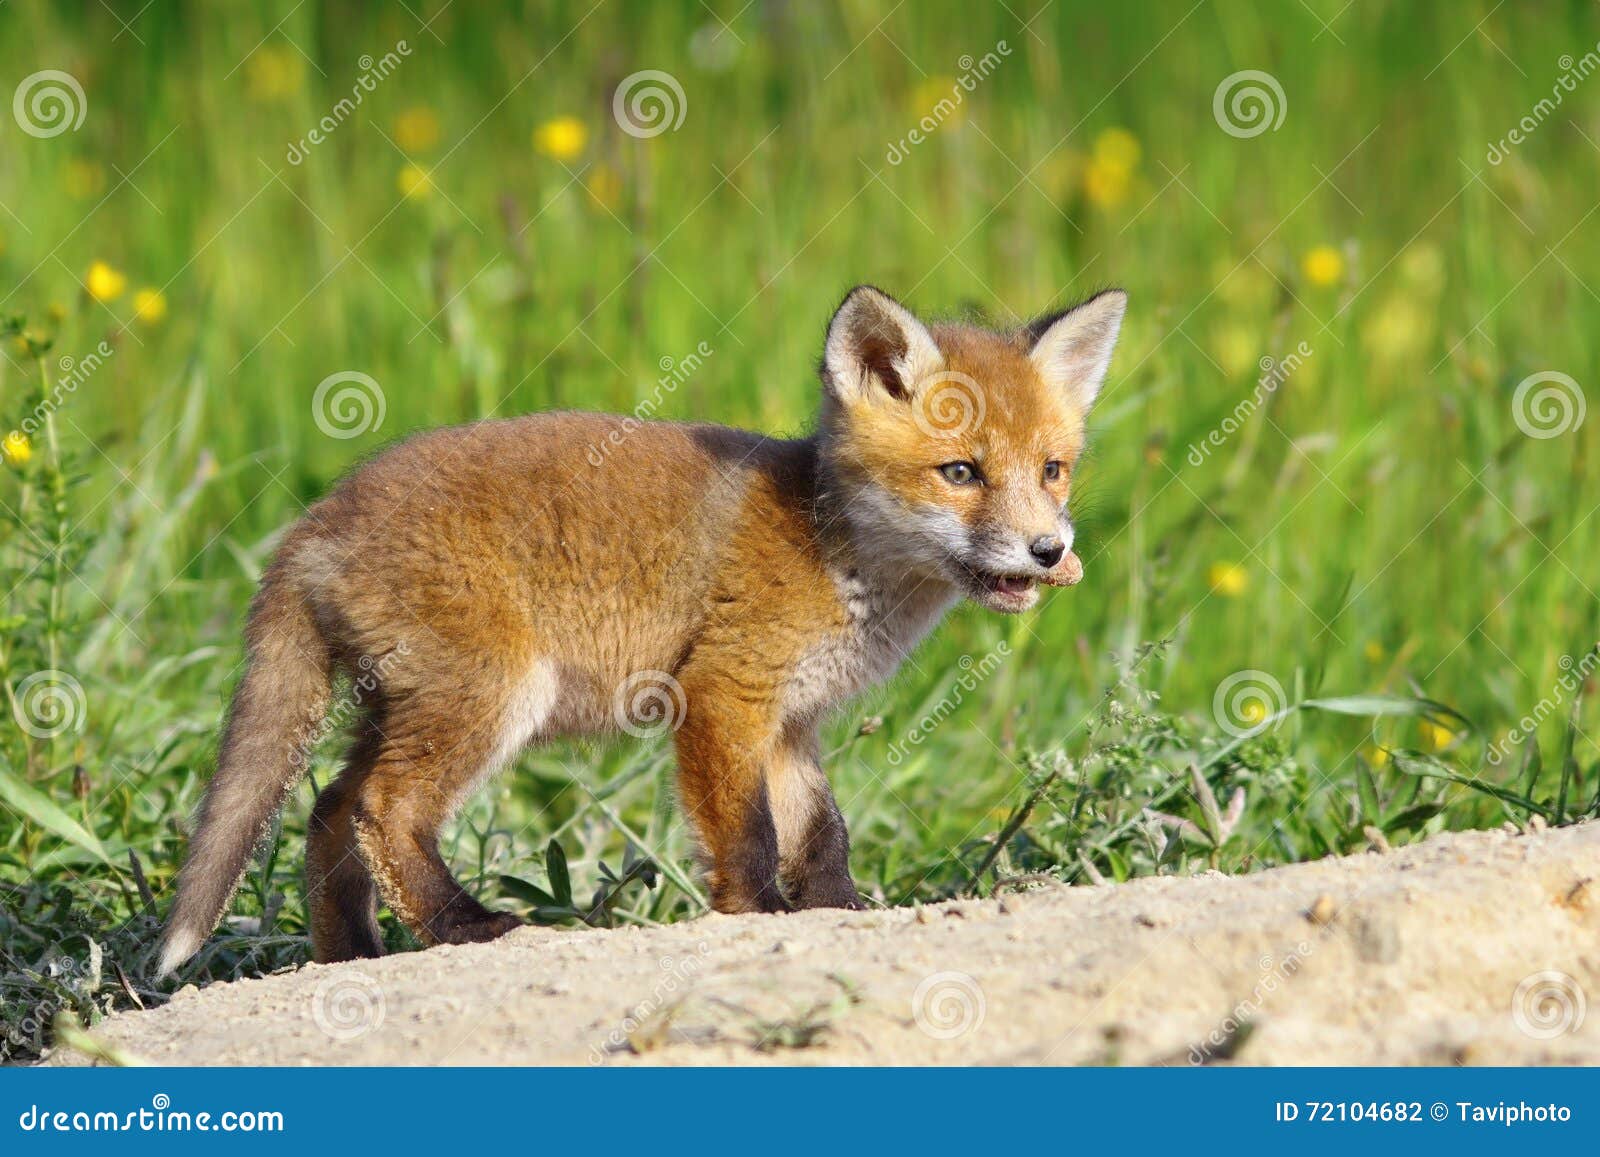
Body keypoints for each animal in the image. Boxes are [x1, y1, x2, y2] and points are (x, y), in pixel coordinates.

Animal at [155, 284, 1126, 975]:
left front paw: (841, 911)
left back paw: (351, 956)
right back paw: (465, 925)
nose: (1050, 550)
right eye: (960, 472)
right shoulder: (722, 693)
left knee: (329, 806)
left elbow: (823, 832)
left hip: (402, 703)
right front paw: (759, 914)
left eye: (1052, 469)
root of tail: (316, 519)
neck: (835, 549)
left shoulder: (790, 721)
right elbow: (748, 833)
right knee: (380, 809)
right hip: (489, 696)